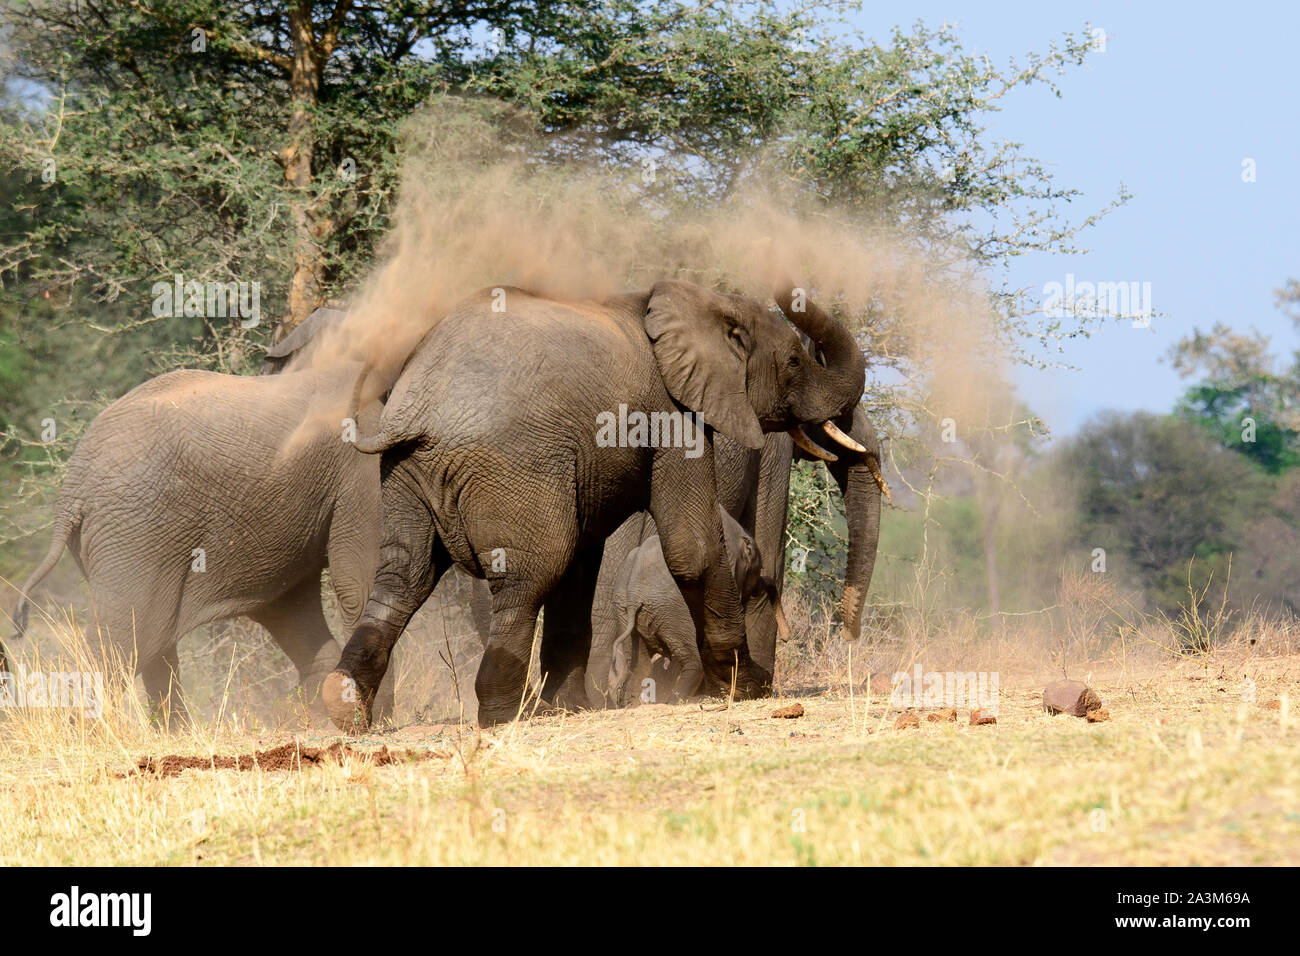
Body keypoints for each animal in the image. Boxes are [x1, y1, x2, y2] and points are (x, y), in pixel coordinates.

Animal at [608, 504, 789, 707]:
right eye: (757, 568)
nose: (786, 638)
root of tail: (634, 594)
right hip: (671, 610)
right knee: (689, 656)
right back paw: (681, 699)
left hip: (624, 609)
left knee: (639, 661)